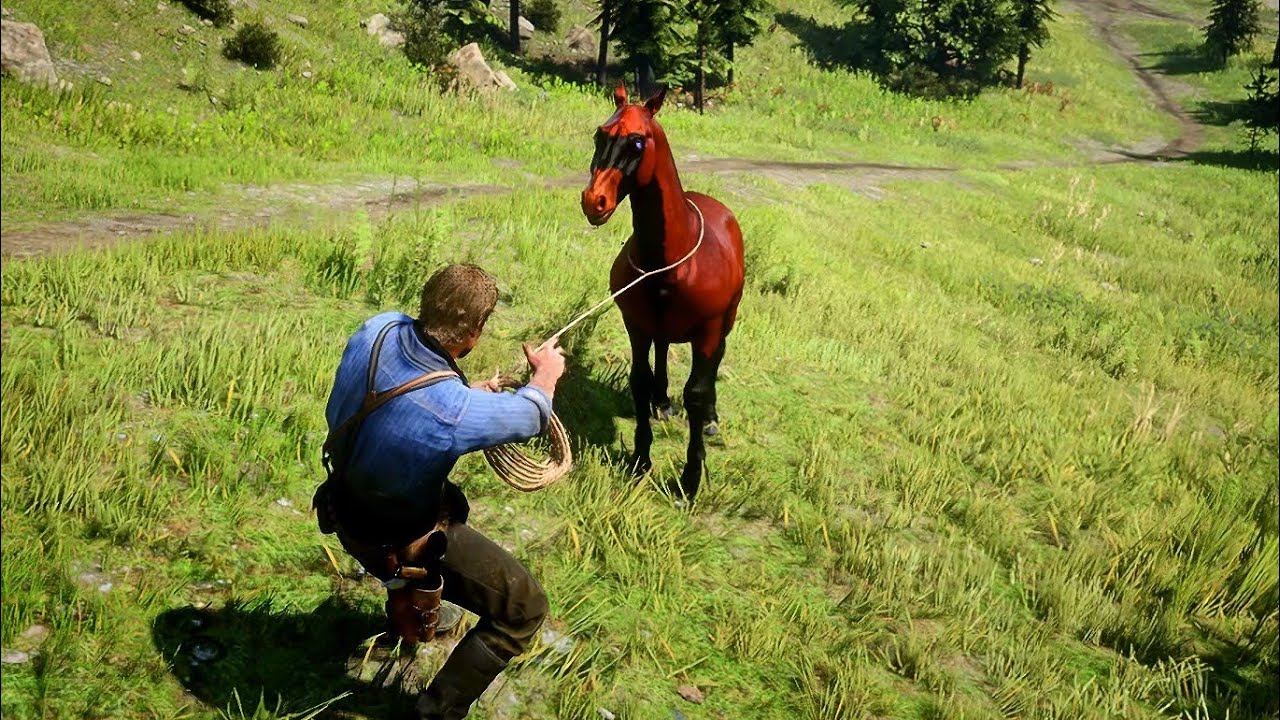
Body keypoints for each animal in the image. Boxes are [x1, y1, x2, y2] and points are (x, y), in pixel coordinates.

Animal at [580, 83, 746, 501]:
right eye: (599, 134)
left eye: (637, 143)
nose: (594, 201)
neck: (670, 265)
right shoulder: (636, 324)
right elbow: (640, 380)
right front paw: (640, 459)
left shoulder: (707, 332)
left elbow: (697, 393)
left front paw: (690, 478)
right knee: (663, 347)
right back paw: (662, 401)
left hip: (726, 321)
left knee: (716, 359)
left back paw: (710, 418)